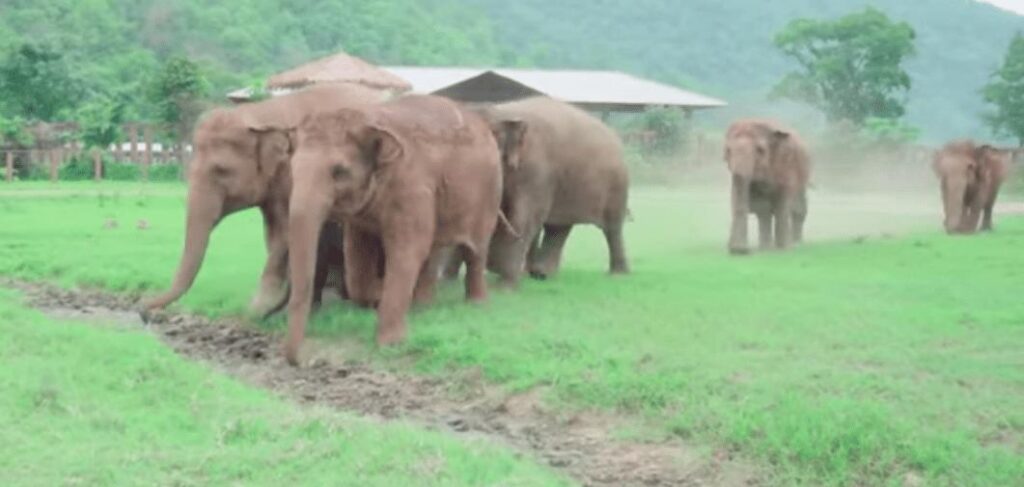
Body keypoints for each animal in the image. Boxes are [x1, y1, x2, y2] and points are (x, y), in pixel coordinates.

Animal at [142, 84, 385, 315]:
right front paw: (270, 308)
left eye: (221, 171)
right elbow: (274, 233)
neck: (261, 113)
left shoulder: (297, 173)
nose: (143, 311)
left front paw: (258, 311)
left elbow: (285, 233)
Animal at [282, 95, 503, 365]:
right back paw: (422, 308)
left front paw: (391, 344)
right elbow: (356, 256)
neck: (368, 118)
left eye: (339, 172)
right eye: (292, 168)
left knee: (476, 251)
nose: (301, 361)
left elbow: (407, 251)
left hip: (490, 193)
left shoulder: (414, 186)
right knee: (432, 250)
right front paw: (377, 295)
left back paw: (476, 305)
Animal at [445, 96, 630, 284]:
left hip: (617, 184)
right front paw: (448, 282)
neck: (498, 112)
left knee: (612, 227)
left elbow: (526, 217)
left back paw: (617, 274)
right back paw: (543, 274)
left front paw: (504, 286)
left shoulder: (537, 171)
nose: (492, 267)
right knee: (558, 227)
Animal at [724, 119, 811, 255]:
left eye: (760, 150)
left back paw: (795, 243)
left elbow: (782, 204)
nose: (742, 251)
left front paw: (784, 249)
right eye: (728, 150)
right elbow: (756, 206)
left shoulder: (786, 164)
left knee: (798, 209)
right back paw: (767, 247)